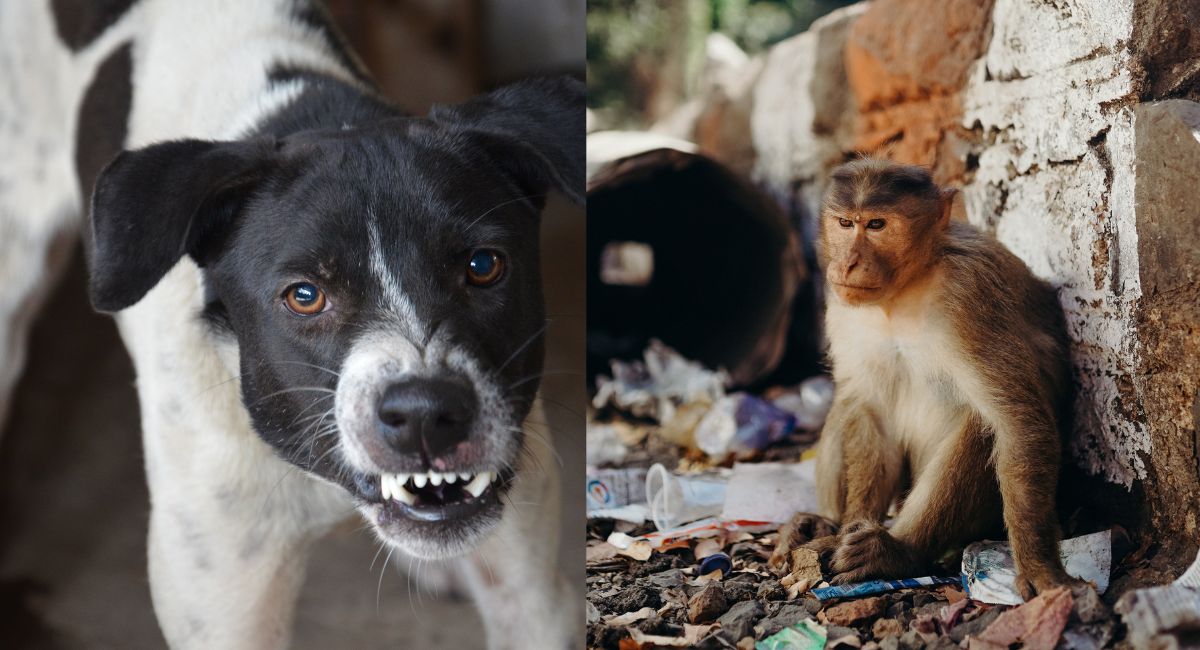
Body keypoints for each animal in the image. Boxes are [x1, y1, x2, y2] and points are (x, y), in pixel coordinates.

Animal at [771, 158, 1082, 600]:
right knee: (847, 403)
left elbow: (1017, 422)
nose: (846, 263)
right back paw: (822, 525)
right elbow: (869, 407)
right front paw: (850, 524)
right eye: (846, 223)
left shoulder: (969, 296)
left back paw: (897, 551)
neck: (906, 287)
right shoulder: (841, 302)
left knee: (979, 426)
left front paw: (1039, 566)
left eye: (877, 225)